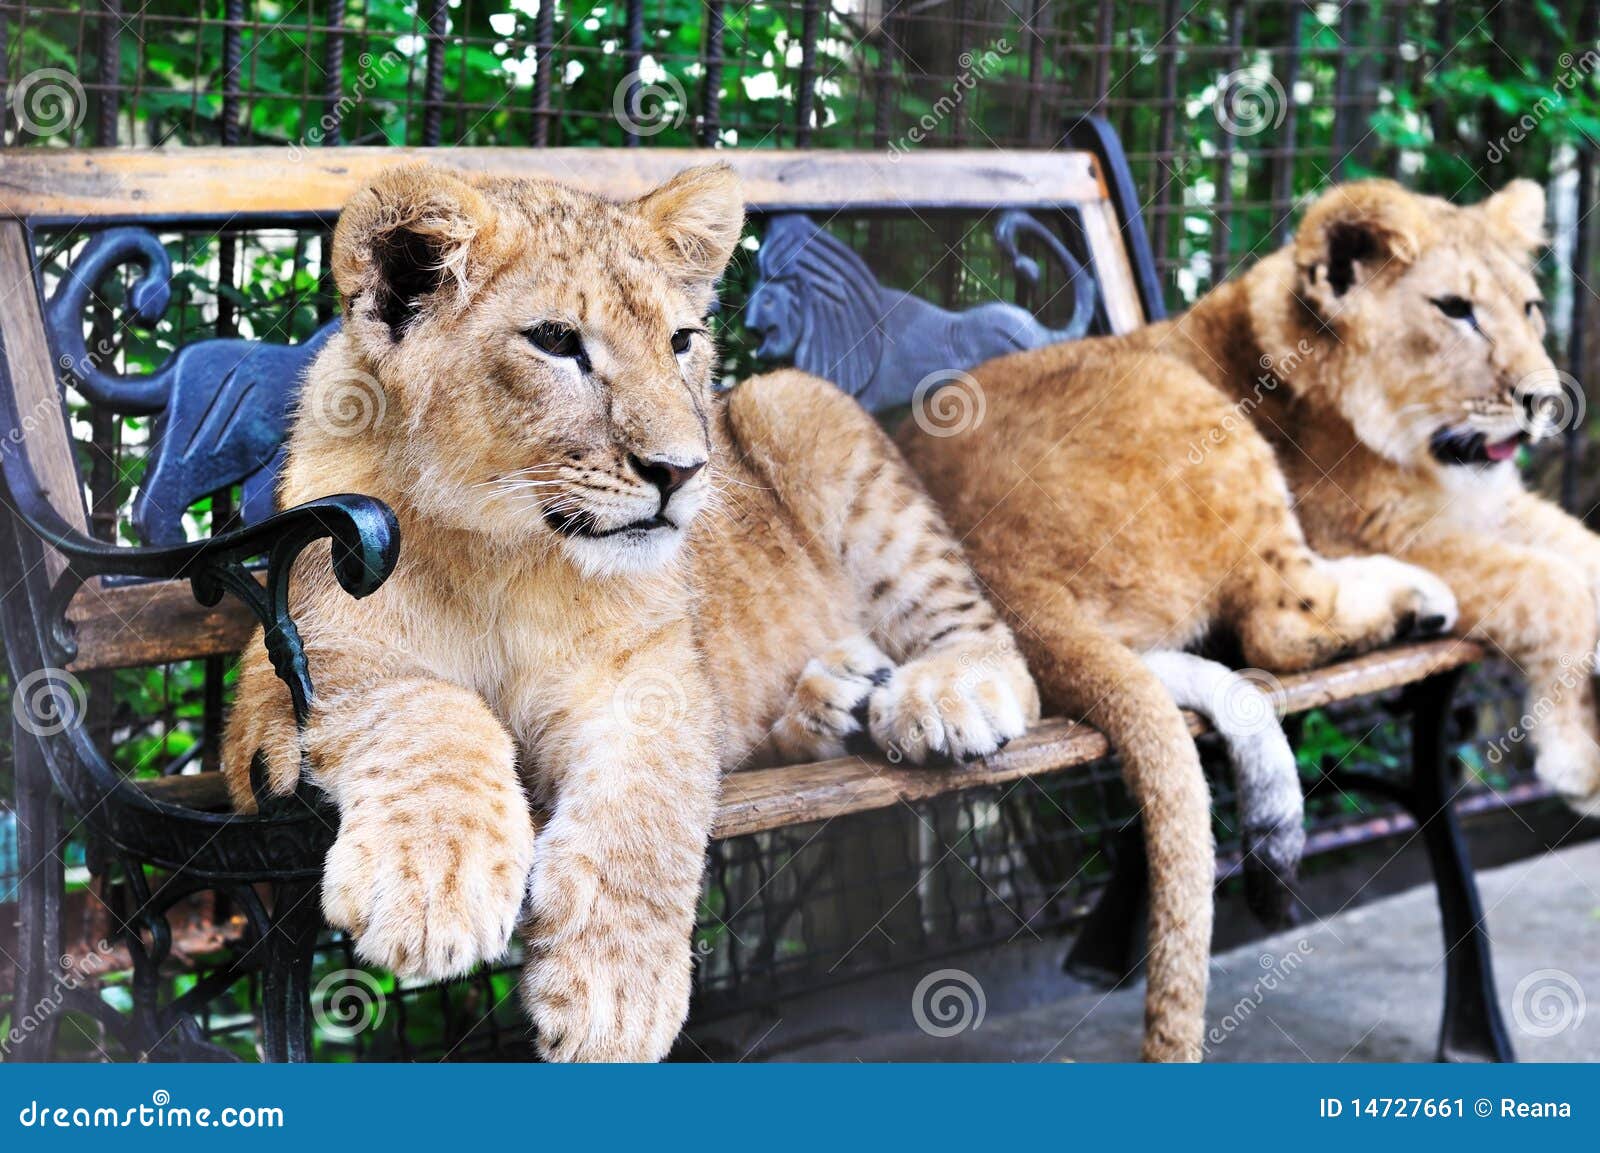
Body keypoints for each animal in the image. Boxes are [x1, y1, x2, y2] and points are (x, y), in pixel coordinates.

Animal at [219, 162, 1041, 1063]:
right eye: (555, 341)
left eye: (680, 341)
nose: (681, 470)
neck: (506, 551)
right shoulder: (283, 682)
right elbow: (422, 707)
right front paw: (435, 875)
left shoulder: (652, 669)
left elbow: (645, 807)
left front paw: (615, 993)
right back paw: (838, 696)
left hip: (794, 405)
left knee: (994, 644)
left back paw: (943, 695)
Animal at [1164, 177, 1600, 818]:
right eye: (1455, 309)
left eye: (1530, 308)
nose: (1547, 400)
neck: (1422, 459)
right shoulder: (1367, 535)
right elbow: (1556, 587)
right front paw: (1577, 758)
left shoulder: (1491, 506)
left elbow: (1584, 552)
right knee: (1276, 630)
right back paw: (1414, 606)